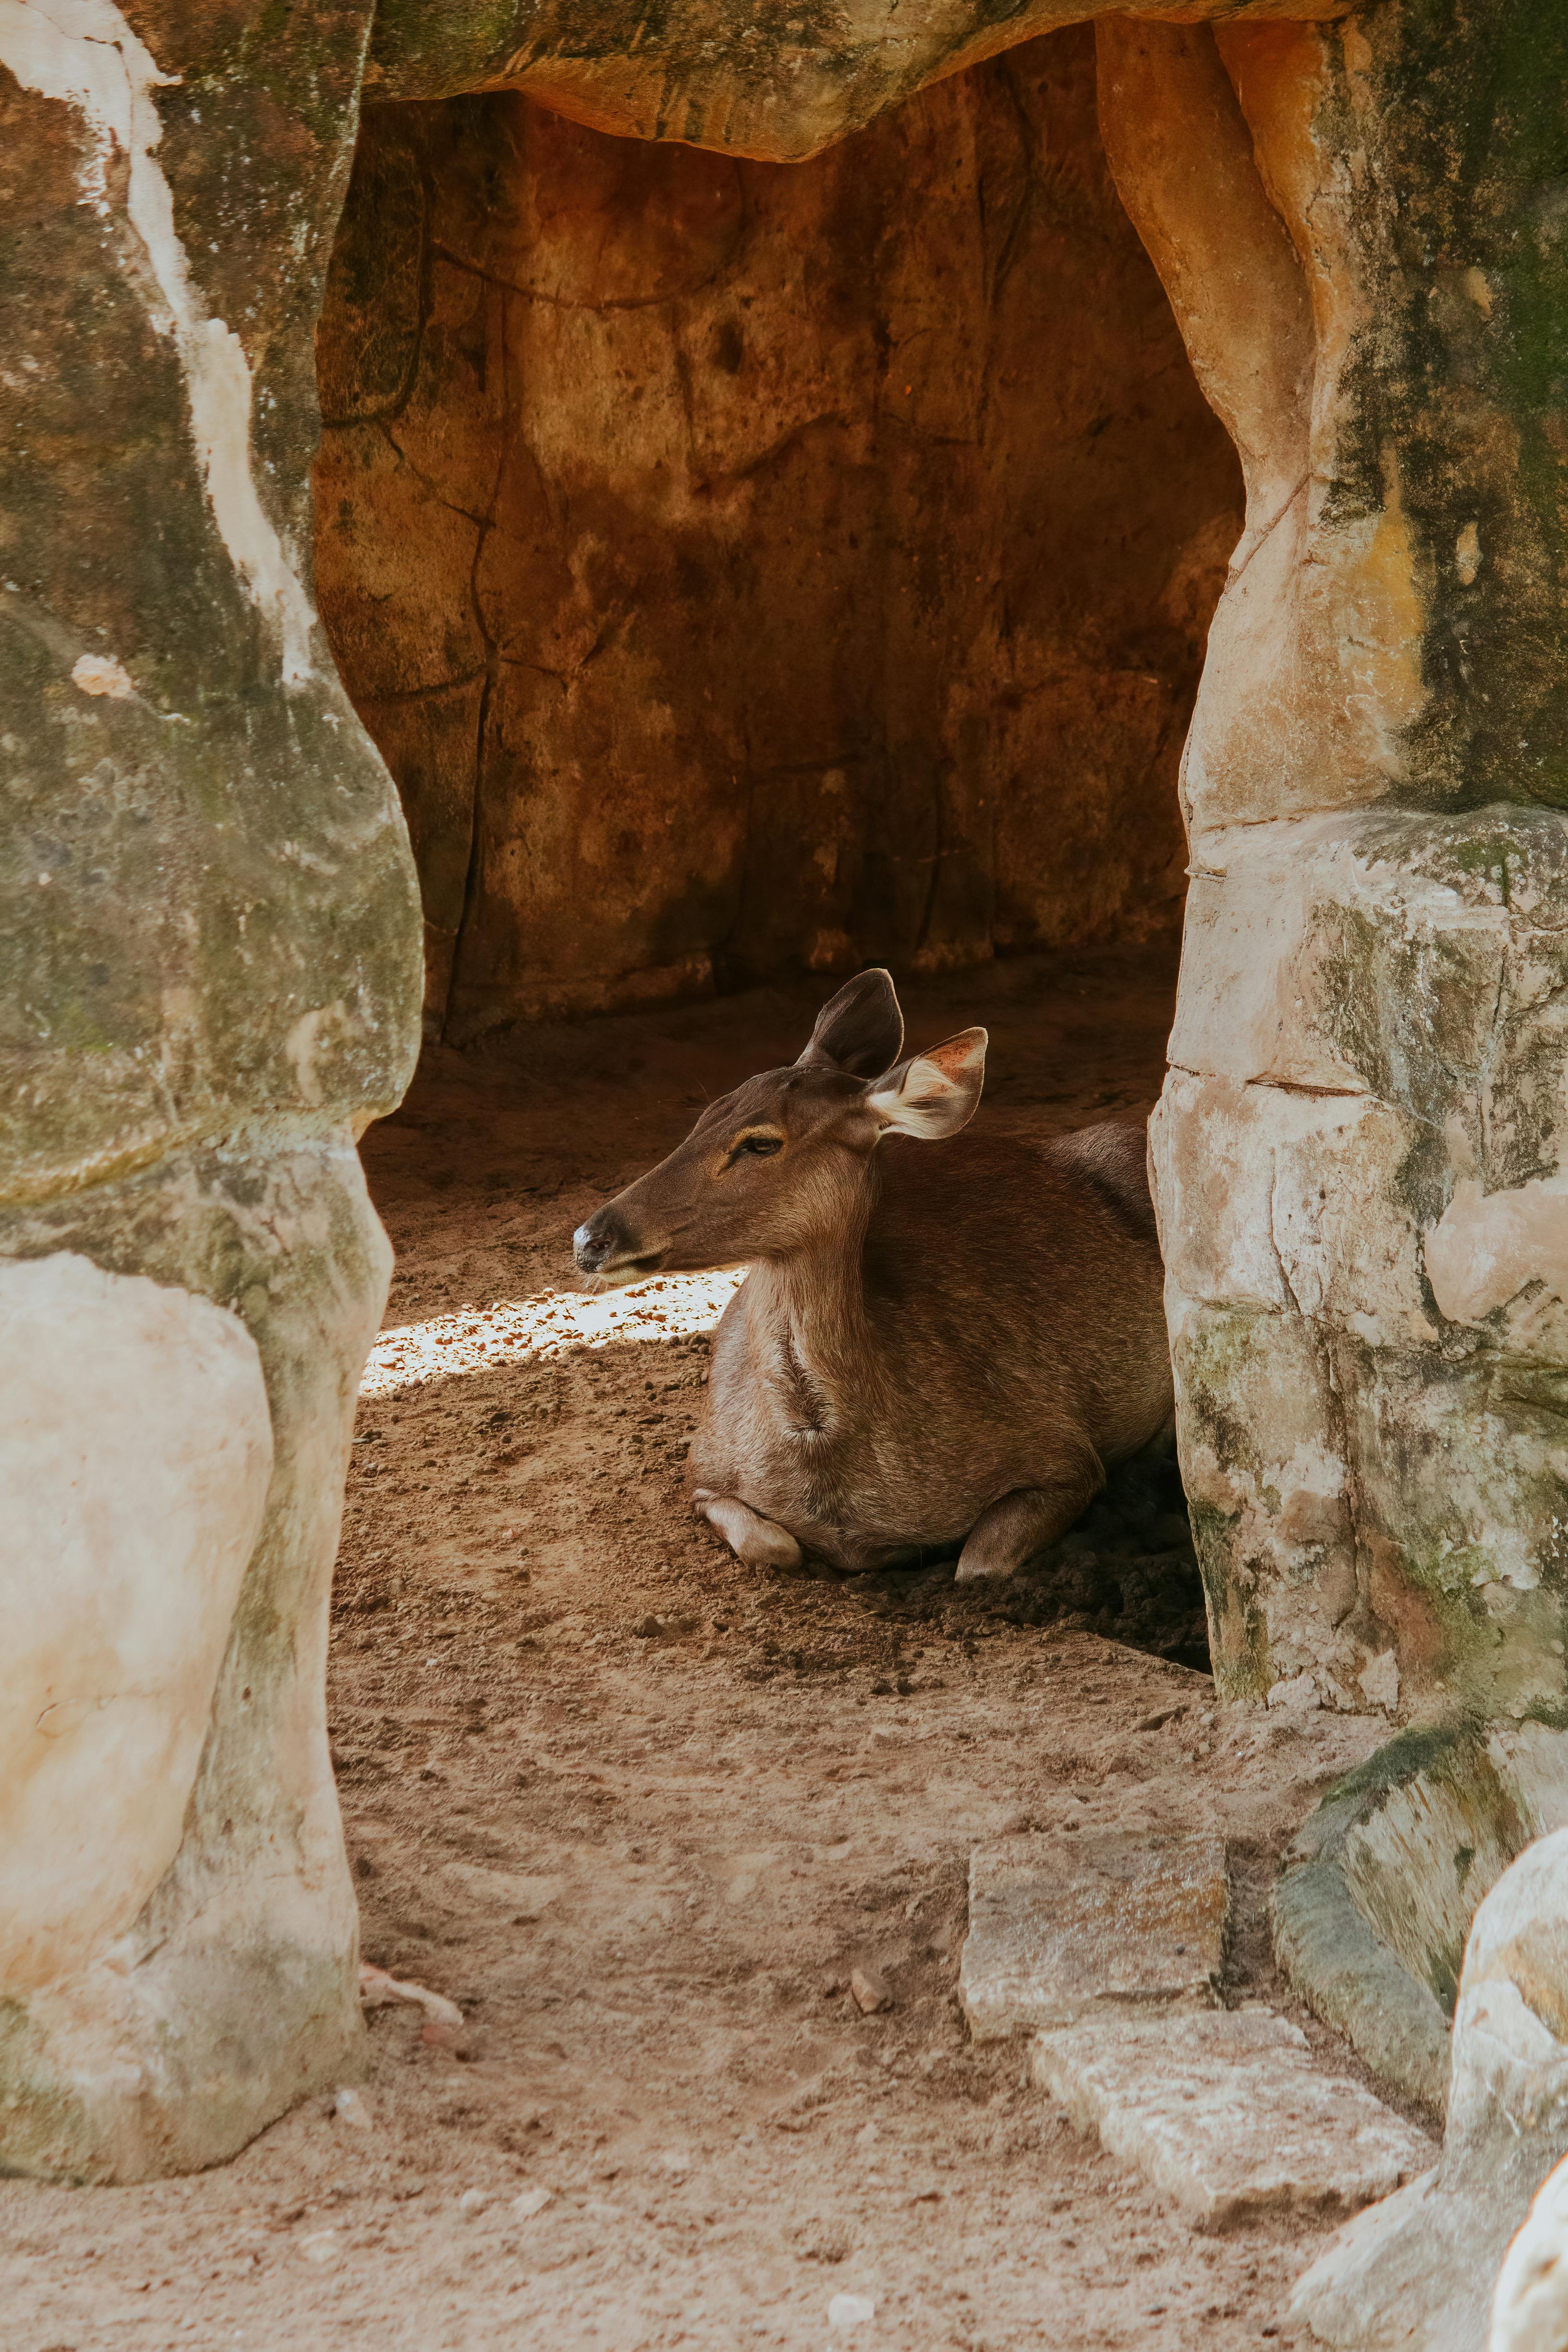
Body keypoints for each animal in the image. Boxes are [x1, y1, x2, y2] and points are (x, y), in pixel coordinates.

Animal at [571, 969, 1173, 1581]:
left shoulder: (1062, 1453)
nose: (591, 1239)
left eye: (761, 1141)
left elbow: (976, 1565)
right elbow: (773, 1545)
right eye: (704, 1115)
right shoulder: (702, 1467)